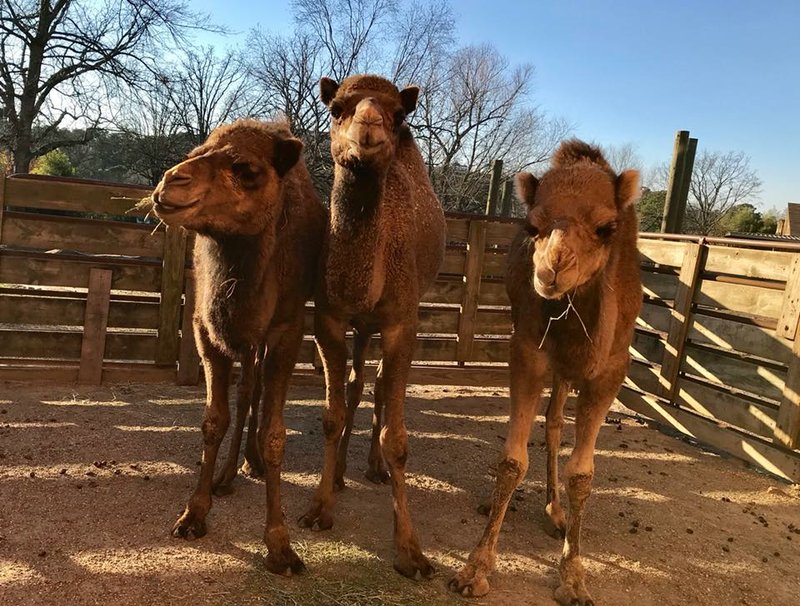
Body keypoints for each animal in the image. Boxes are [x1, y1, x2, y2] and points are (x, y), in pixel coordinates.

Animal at [151, 119, 326, 575]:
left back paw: (252, 464)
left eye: (246, 168)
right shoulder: (204, 328)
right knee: (247, 392)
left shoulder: (286, 331)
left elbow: (275, 432)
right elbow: (214, 419)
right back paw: (228, 475)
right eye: (195, 152)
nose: (171, 182)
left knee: (256, 391)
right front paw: (193, 513)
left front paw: (280, 546)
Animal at [298, 74, 446, 579]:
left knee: (379, 384)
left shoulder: (402, 323)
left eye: (397, 114)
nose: (368, 127)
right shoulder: (329, 317)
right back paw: (344, 473)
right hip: (361, 327)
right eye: (336, 107)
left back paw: (375, 469)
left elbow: (398, 438)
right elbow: (332, 412)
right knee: (359, 383)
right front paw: (319, 508)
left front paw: (411, 551)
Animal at [449, 140, 642, 605]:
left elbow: (582, 473)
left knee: (555, 421)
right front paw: (475, 568)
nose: (552, 269)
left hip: (573, 371)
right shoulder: (527, 351)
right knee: (549, 421)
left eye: (607, 227)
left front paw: (573, 578)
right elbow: (511, 460)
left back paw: (556, 512)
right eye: (532, 226)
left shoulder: (610, 369)